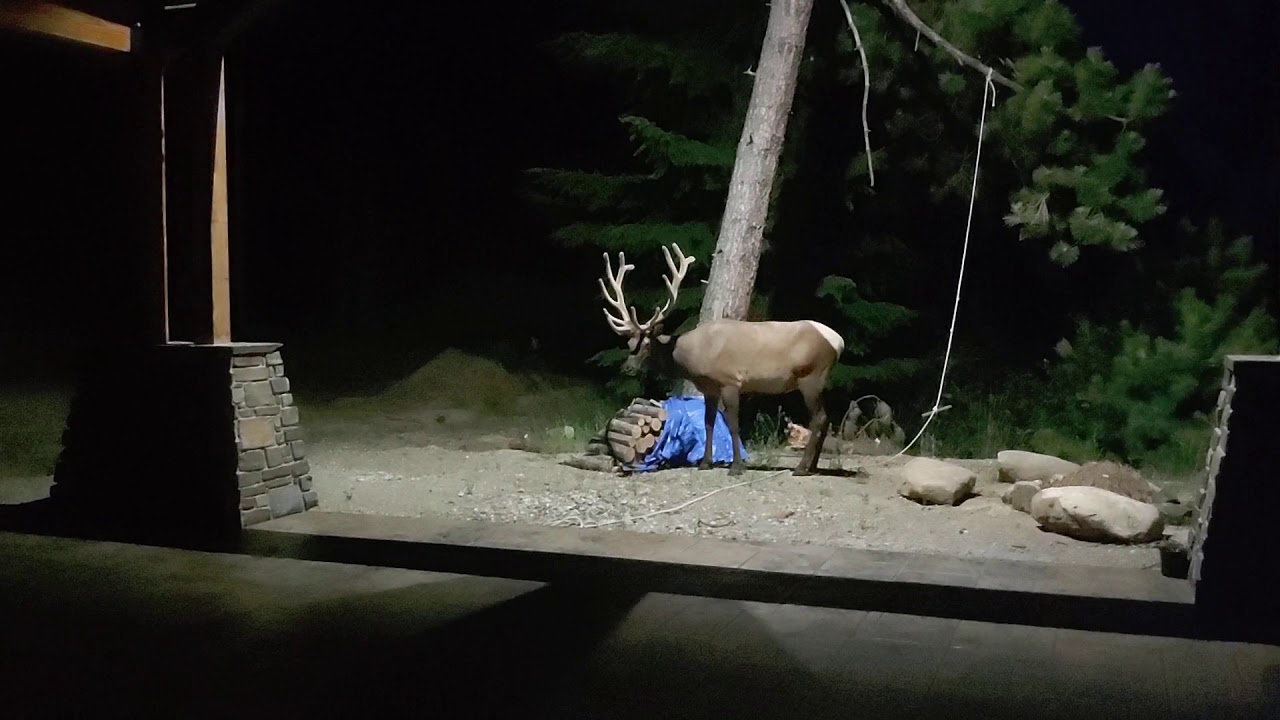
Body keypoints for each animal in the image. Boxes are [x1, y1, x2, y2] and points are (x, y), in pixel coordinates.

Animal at [599, 243, 846, 477]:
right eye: (629, 344)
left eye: (646, 344)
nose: (627, 369)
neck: (695, 356)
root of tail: (839, 341)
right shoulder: (710, 388)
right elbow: (708, 423)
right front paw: (705, 463)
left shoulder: (731, 381)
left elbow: (733, 424)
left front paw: (736, 467)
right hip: (820, 379)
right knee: (827, 418)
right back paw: (812, 467)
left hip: (810, 375)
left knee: (819, 418)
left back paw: (801, 468)